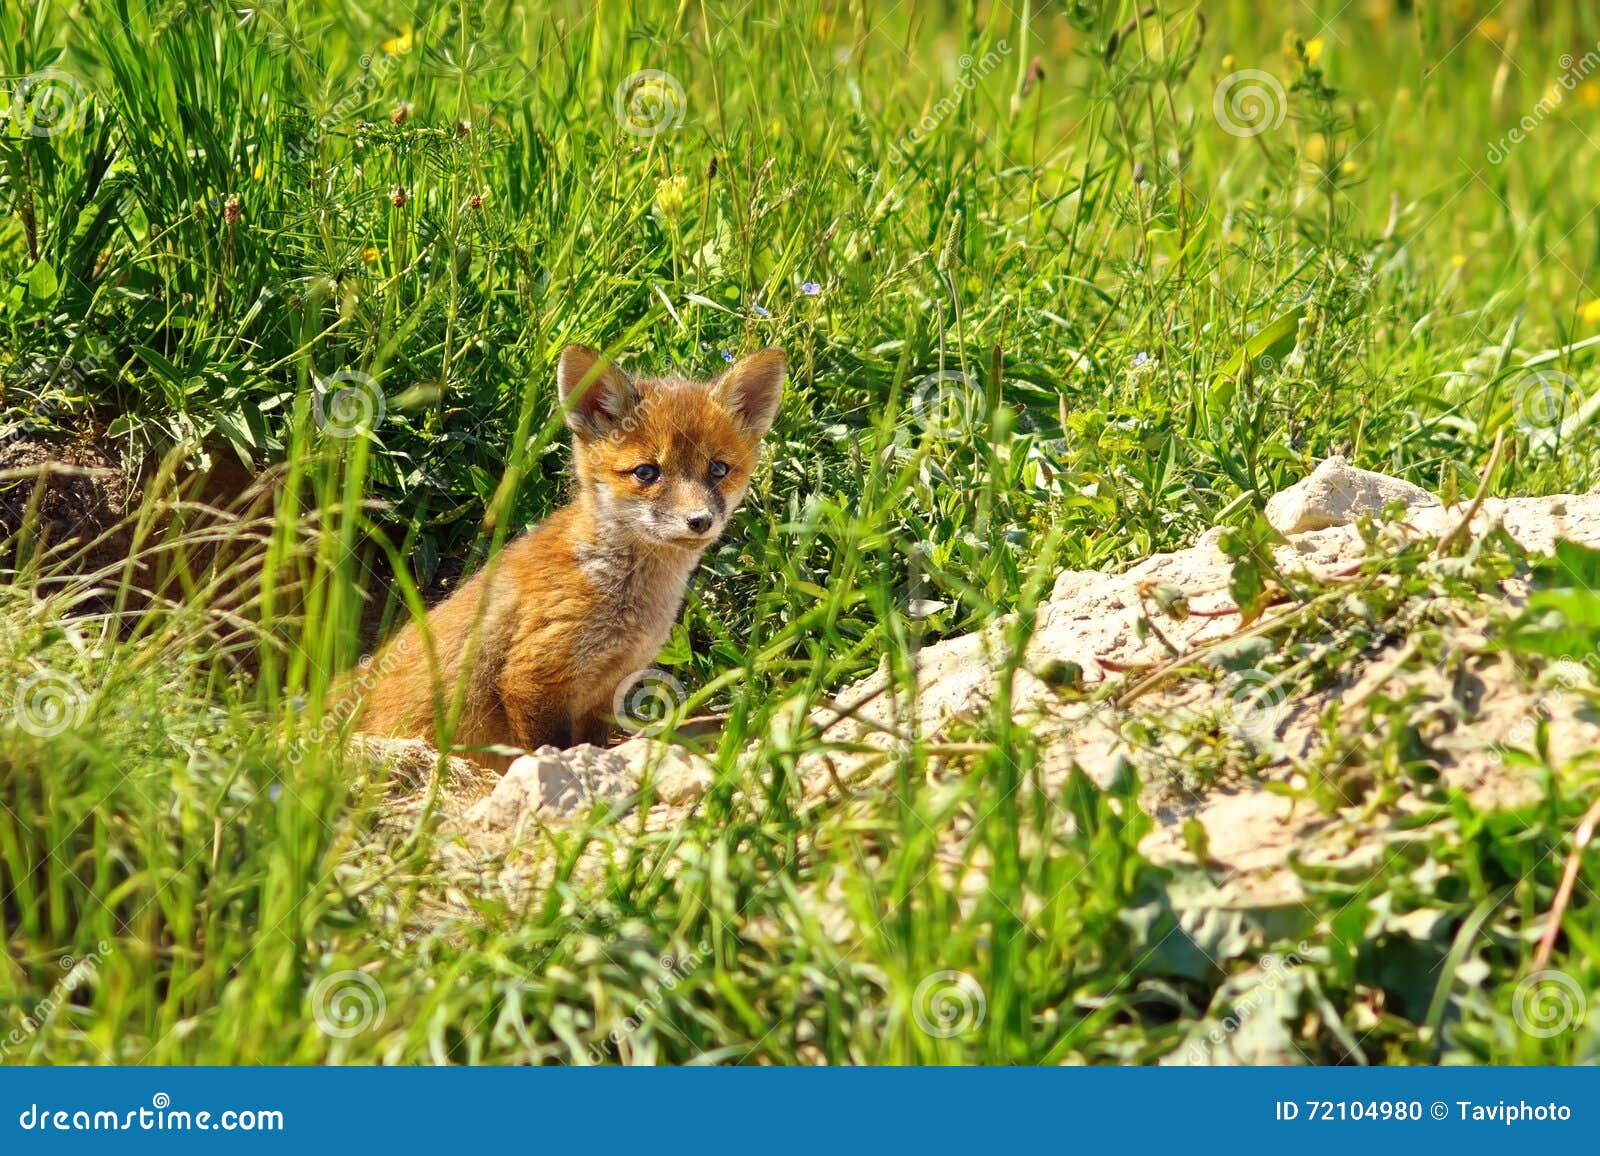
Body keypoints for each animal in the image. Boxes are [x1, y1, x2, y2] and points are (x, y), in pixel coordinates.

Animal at [353, 343, 786, 770]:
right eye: (646, 472)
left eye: (718, 469)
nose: (700, 521)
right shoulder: (533, 677)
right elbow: (551, 749)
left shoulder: (606, 691)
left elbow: (593, 743)